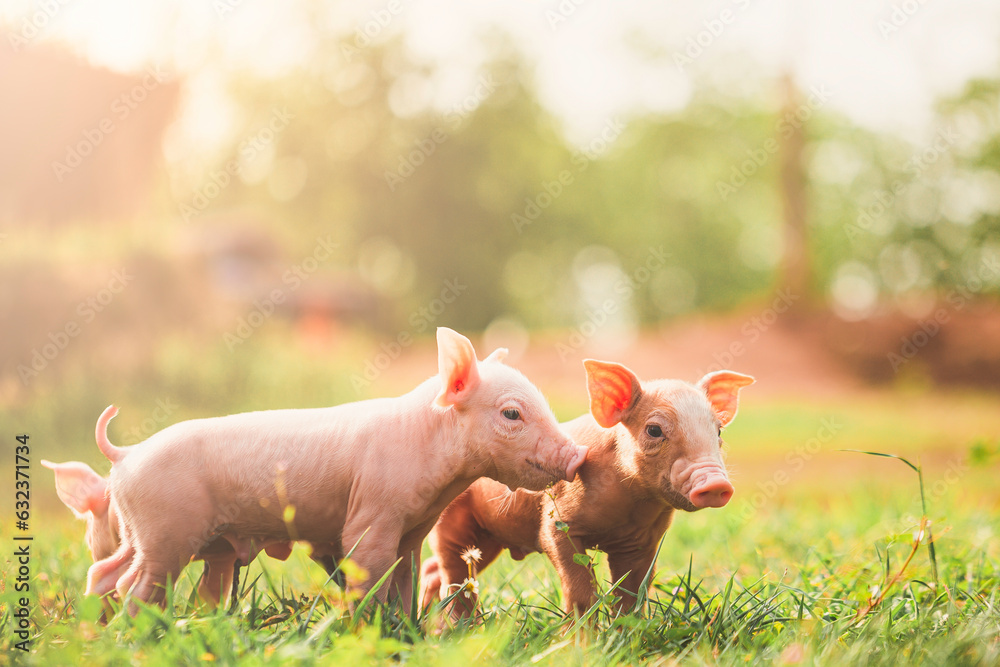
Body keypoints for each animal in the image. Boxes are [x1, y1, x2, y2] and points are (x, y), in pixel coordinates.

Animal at [82, 327, 587, 614]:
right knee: (133, 583)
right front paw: (369, 627)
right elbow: (366, 567)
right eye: (512, 413)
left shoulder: (412, 532)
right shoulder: (373, 512)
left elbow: (404, 580)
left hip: (140, 532)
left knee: (104, 572)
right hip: (167, 529)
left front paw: (409, 628)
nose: (579, 454)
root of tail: (124, 454)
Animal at [419, 360, 754, 619]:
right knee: (454, 574)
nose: (716, 483)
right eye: (654, 430)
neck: (631, 506)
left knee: (435, 570)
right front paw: (580, 645)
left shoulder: (642, 541)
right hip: (451, 518)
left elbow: (632, 595)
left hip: (490, 538)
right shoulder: (557, 524)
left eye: (718, 431)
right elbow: (580, 590)